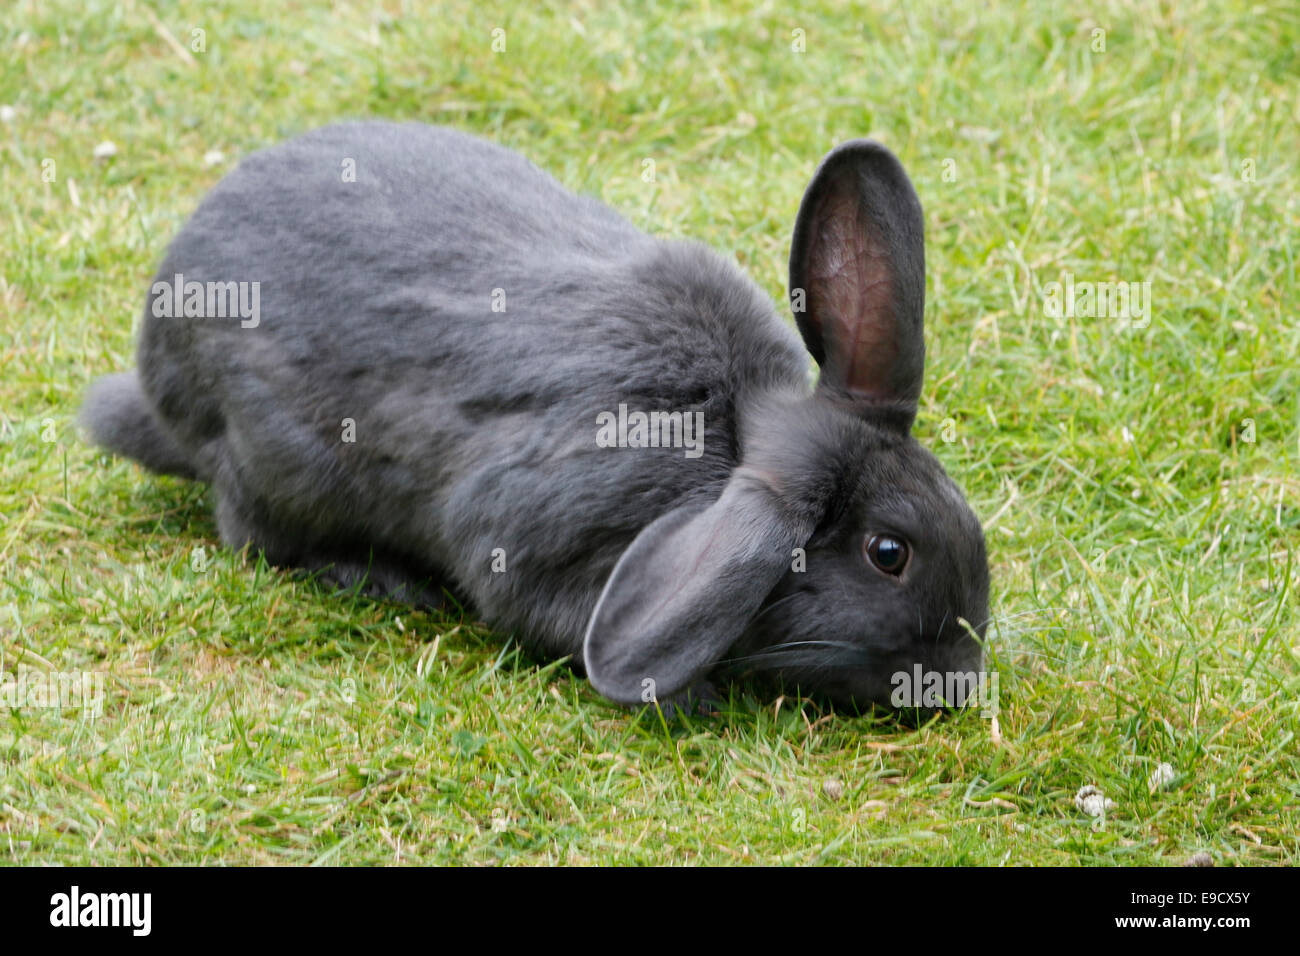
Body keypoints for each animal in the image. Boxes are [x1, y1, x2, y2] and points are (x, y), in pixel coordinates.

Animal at [80, 121, 990, 711]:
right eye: (888, 554)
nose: (959, 678)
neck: (727, 444)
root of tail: (157, 380)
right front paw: (692, 698)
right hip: (273, 465)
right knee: (255, 535)